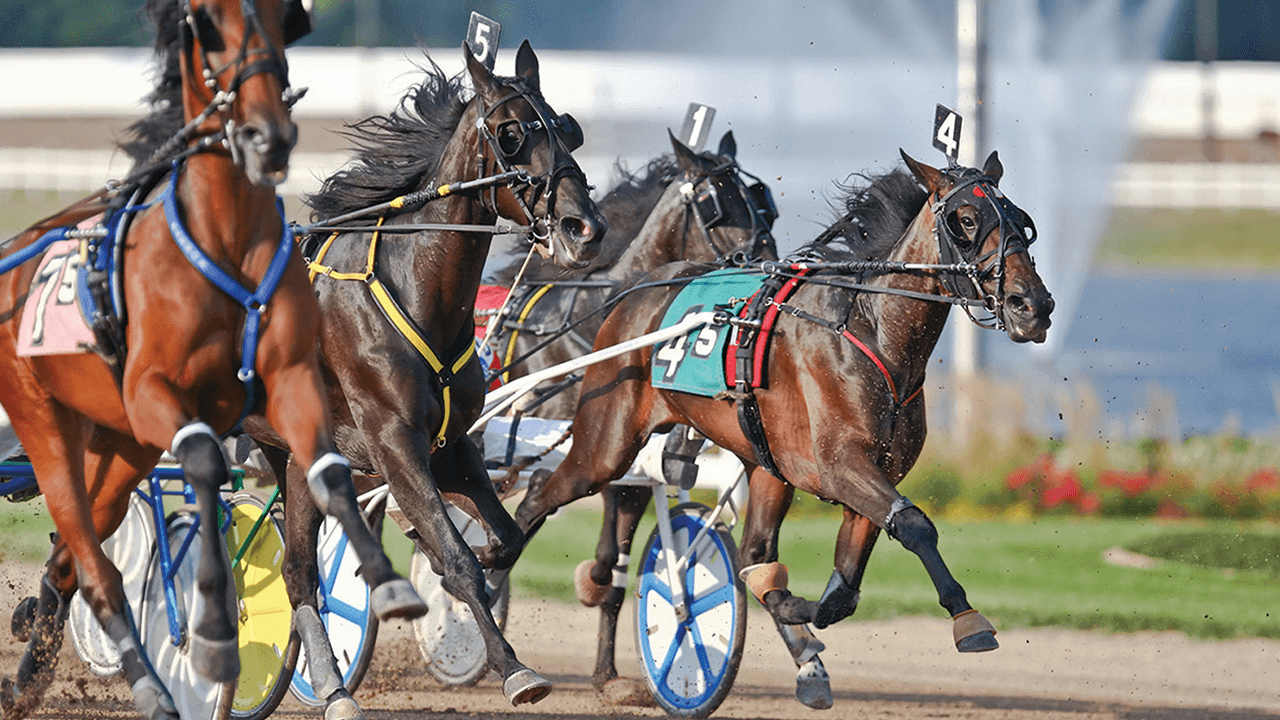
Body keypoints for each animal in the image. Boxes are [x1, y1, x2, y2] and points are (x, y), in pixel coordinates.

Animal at [0, 1, 425, 718]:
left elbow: (330, 471)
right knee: (93, 561)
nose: (266, 134)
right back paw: (148, 684)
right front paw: (213, 634)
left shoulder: (291, 381)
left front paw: (387, 583)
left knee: (70, 559)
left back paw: (29, 679)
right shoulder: (154, 392)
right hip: (45, 423)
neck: (223, 236)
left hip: (118, 444)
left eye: (285, 19)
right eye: (207, 25)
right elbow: (201, 461)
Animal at [240, 41, 607, 713]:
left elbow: (503, 539)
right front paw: (512, 667)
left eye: (566, 127)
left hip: (290, 454)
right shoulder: (394, 446)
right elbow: (459, 561)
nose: (584, 229)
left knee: (299, 572)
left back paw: (334, 688)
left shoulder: (451, 445)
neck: (417, 291)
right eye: (511, 133)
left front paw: (456, 559)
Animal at [507, 149, 1054, 710]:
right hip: (607, 442)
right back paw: (493, 581)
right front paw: (969, 619)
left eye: (1020, 220)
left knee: (751, 550)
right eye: (965, 220)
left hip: (763, 464)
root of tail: (631, 294)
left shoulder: (872, 475)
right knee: (538, 495)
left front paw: (795, 612)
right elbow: (915, 526)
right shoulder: (839, 465)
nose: (1032, 305)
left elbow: (842, 592)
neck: (869, 326)